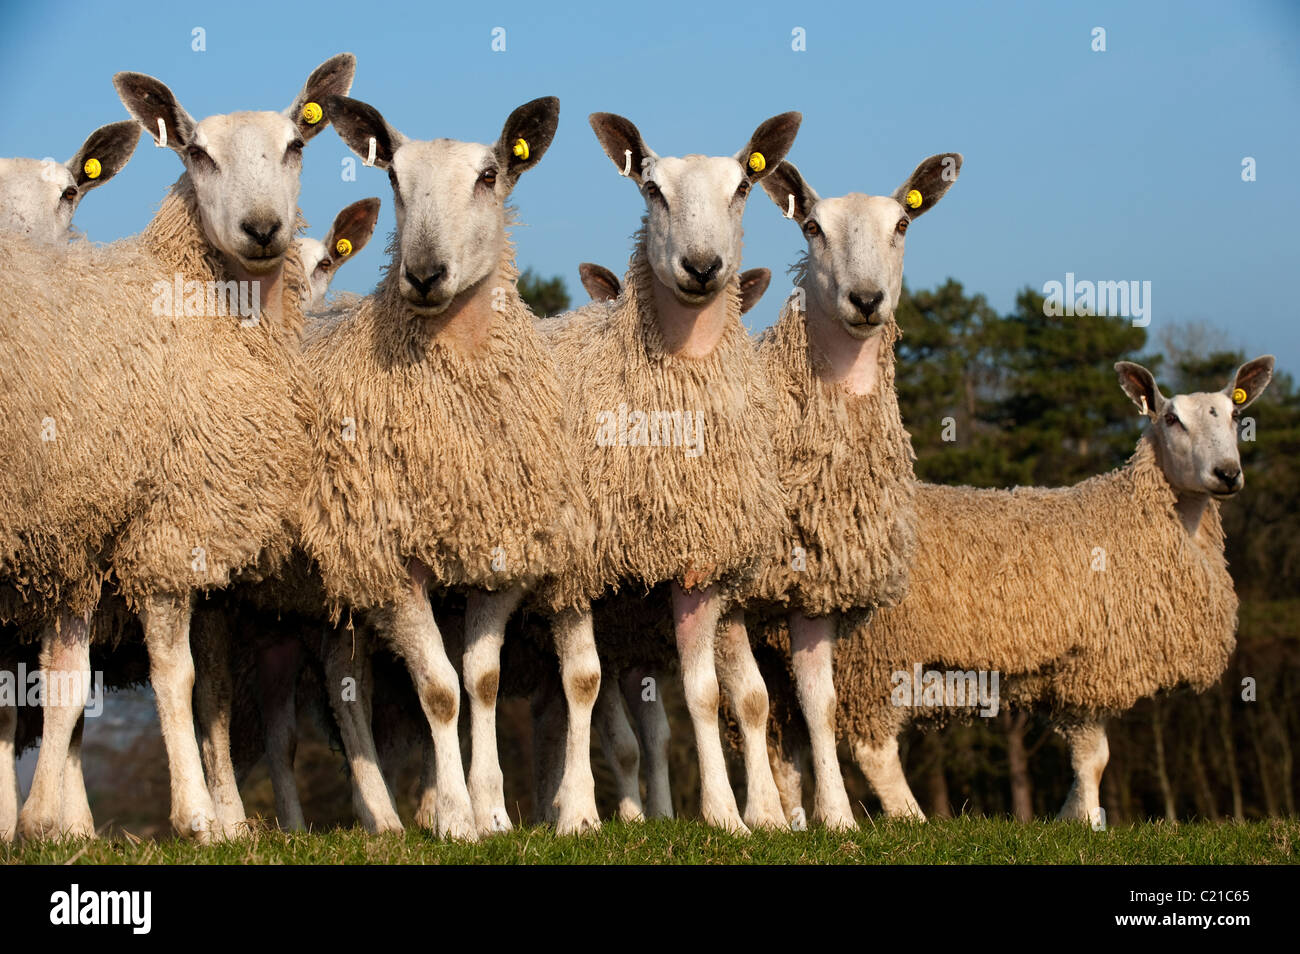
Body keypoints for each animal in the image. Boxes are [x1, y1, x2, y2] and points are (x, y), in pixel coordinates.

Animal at [0, 53, 356, 842]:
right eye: (196, 153)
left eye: (297, 144)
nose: (263, 227)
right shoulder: (161, 520)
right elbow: (176, 675)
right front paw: (195, 816)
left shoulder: (77, 529)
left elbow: (68, 679)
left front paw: (53, 824)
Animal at [296, 93, 603, 839]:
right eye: (393, 178)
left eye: (489, 176)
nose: (425, 274)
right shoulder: (388, 557)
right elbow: (437, 690)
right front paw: (458, 819)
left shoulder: (501, 553)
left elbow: (480, 680)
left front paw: (490, 809)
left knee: (346, 682)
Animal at [538, 111, 800, 833]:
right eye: (651, 190)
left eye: (743, 187)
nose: (703, 266)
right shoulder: (578, 563)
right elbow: (583, 684)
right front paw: (578, 813)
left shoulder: (699, 564)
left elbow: (708, 693)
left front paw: (730, 815)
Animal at [764, 357, 1271, 825]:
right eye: (1171, 419)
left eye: (1234, 414)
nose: (1227, 473)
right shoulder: (1088, 665)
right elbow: (1094, 759)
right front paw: (1087, 821)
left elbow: (1091, 761)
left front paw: (1071, 818)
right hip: (875, 655)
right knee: (873, 749)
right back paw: (914, 821)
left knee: (784, 749)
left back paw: (792, 822)